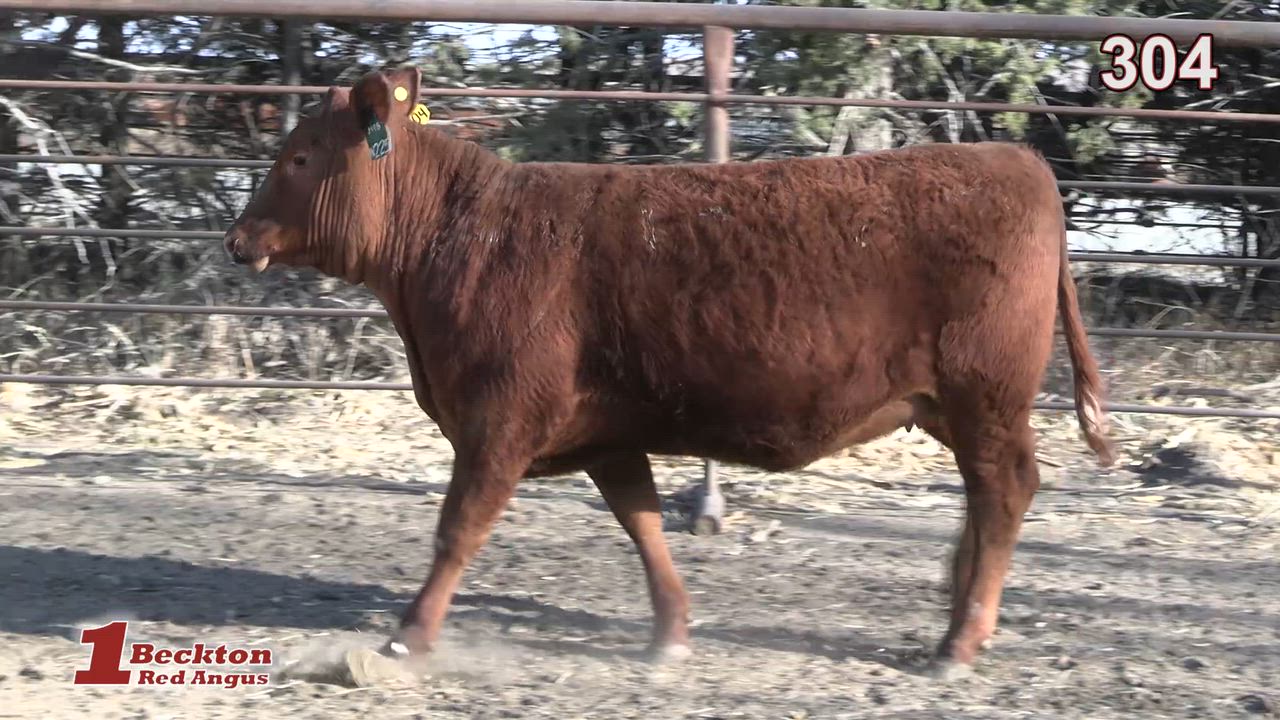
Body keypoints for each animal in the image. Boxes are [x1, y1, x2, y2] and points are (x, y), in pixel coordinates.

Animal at [222, 66, 1115, 679]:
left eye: (299, 156)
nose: (237, 239)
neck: (457, 237)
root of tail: (1021, 162)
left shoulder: (498, 421)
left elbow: (457, 530)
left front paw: (408, 634)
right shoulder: (605, 431)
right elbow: (642, 522)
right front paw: (672, 633)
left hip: (986, 394)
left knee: (1006, 489)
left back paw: (961, 640)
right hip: (949, 403)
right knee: (983, 497)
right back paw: (954, 611)